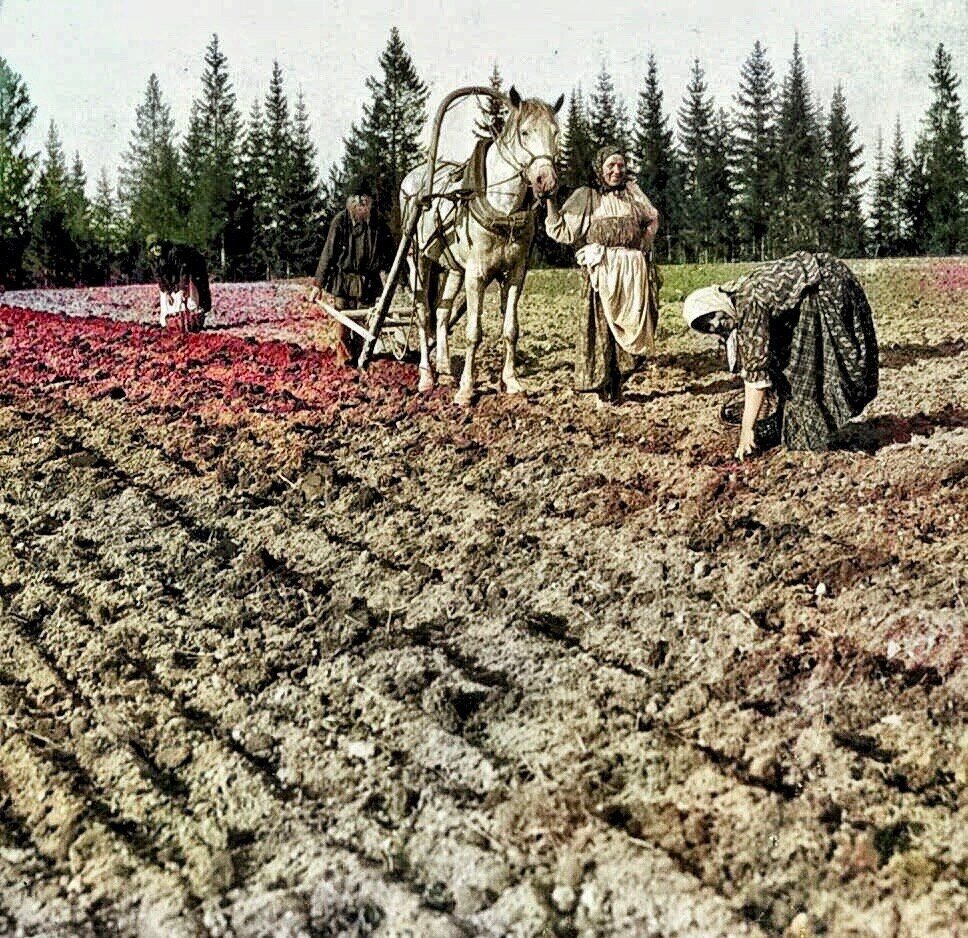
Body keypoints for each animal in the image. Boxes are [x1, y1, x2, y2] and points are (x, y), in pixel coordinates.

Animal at [400, 88, 568, 406]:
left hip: (454, 269)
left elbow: (511, 329)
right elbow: (473, 332)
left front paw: (512, 382)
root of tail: (413, 178)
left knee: (442, 313)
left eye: (556, 133)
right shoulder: (476, 275)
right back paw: (426, 376)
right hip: (418, 260)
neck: (503, 208)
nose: (547, 181)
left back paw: (444, 370)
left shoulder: (515, 274)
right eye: (524, 132)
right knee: (423, 313)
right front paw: (466, 390)